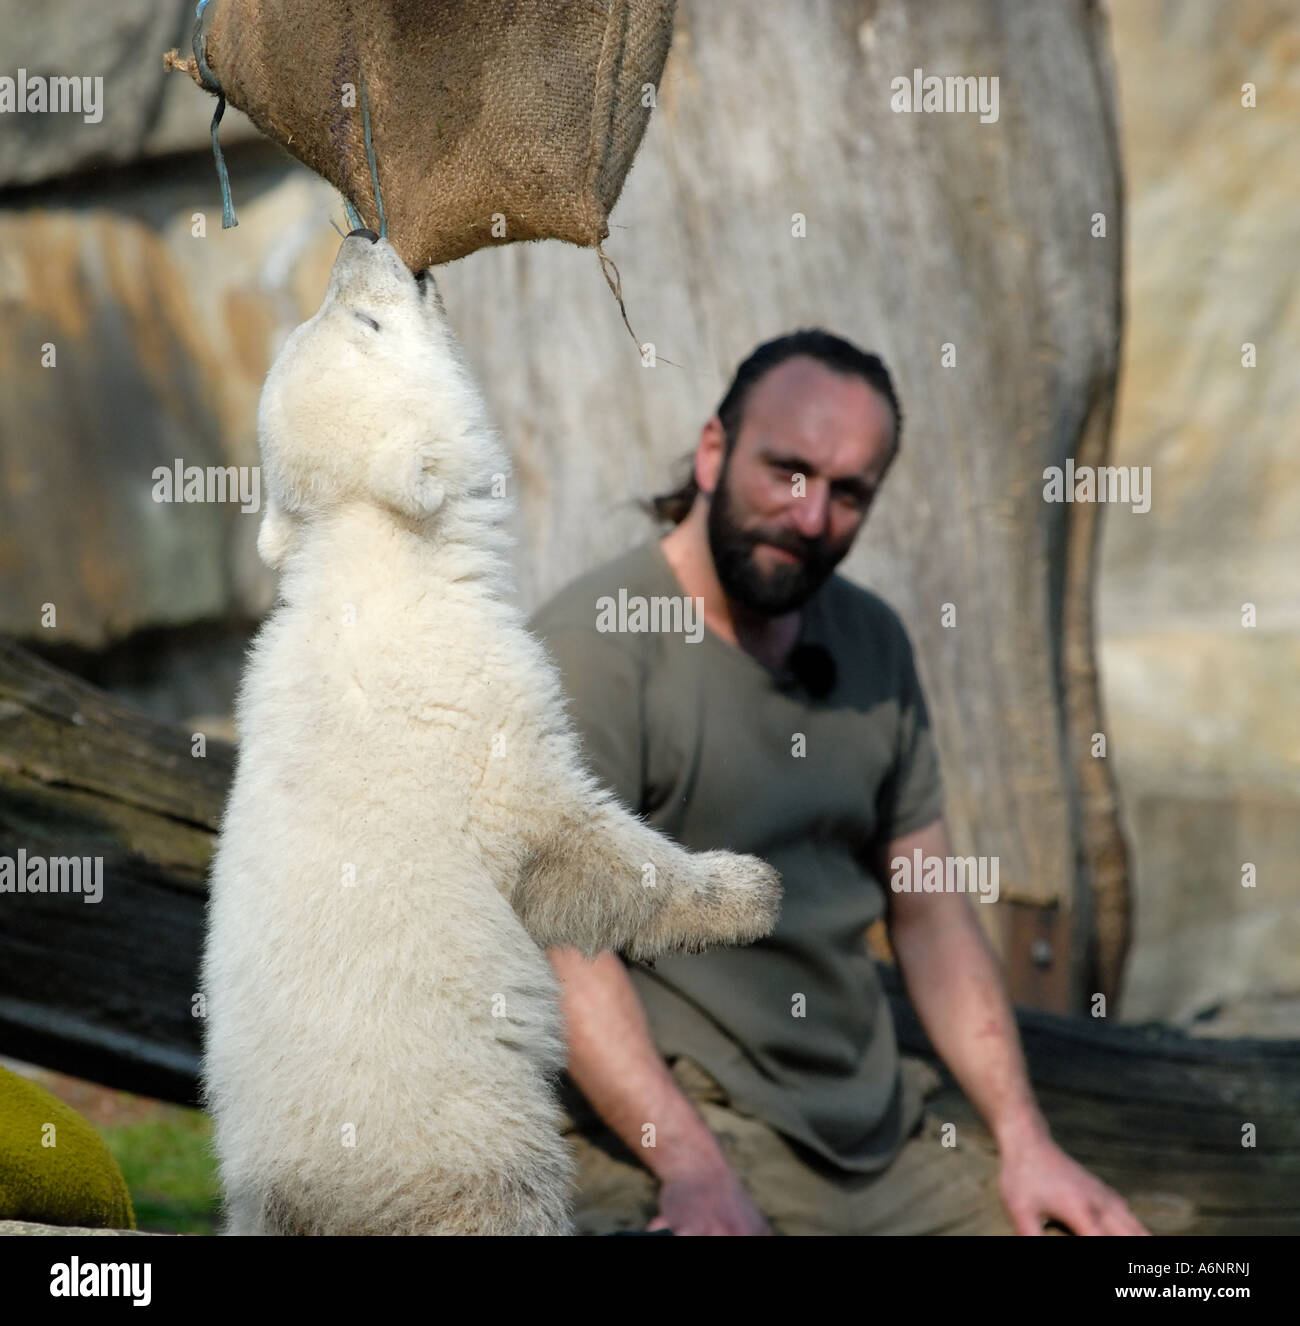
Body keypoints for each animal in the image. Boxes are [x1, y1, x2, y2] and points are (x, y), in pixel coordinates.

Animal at [200, 229, 782, 1236]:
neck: (374, 558)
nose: (359, 239)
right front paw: (747, 890)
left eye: (332, 315)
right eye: (368, 322)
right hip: (465, 1134)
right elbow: (581, 846)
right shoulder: (473, 708)